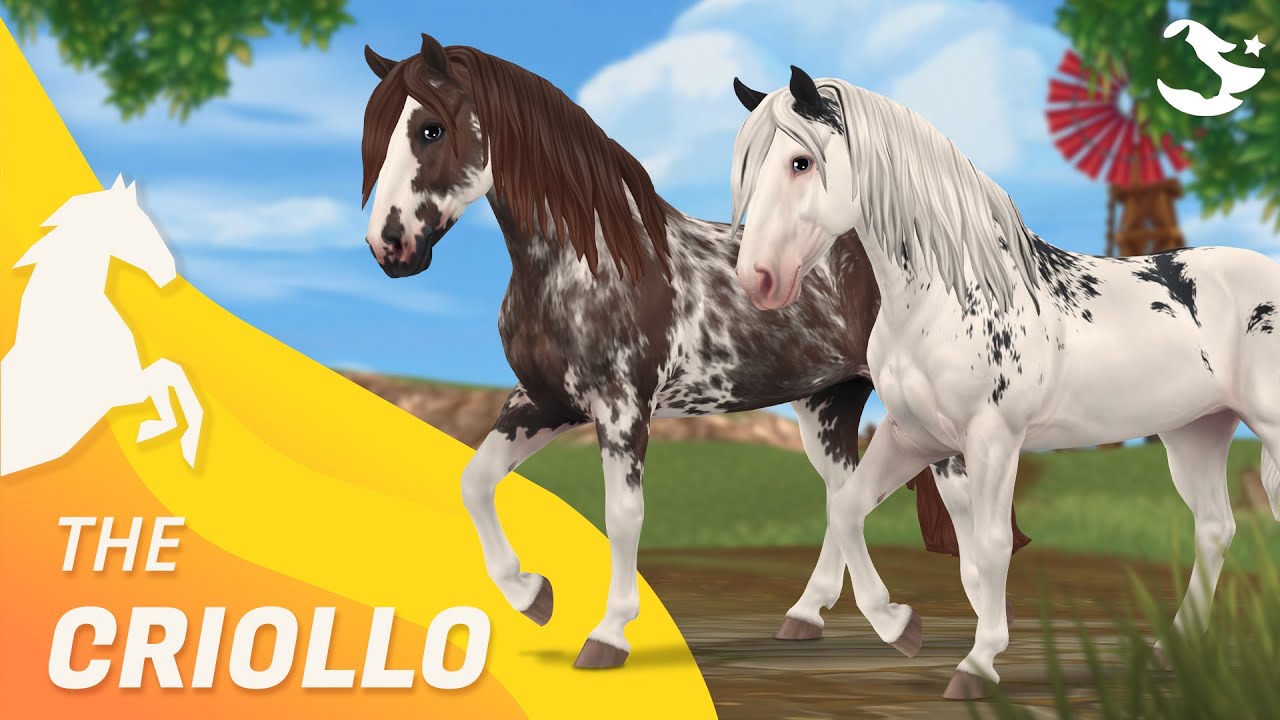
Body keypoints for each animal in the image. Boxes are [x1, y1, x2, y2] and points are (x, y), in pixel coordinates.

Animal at [2, 176, 203, 475]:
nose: (168, 271)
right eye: (137, 227)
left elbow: (173, 374)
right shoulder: (124, 390)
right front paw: (170, 438)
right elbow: (167, 379)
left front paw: (166, 436)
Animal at [359, 35, 1027, 669]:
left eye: (430, 128)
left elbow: (623, 515)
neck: (588, 261)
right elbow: (475, 482)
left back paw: (945, 623)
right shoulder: (545, 401)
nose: (389, 246)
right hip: (826, 404)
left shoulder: (622, 408)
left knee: (941, 501)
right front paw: (532, 594)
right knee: (845, 496)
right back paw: (817, 616)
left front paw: (607, 635)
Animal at [728, 66, 1280, 698]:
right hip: (1195, 433)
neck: (946, 297)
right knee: (1214, 528)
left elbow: (991, 548)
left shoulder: (993, 439)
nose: (758, 279)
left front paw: (977, 666)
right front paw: (902, 627)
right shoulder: (917, 438)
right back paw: (1173, 649)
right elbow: (853, 513)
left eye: (800, 162)